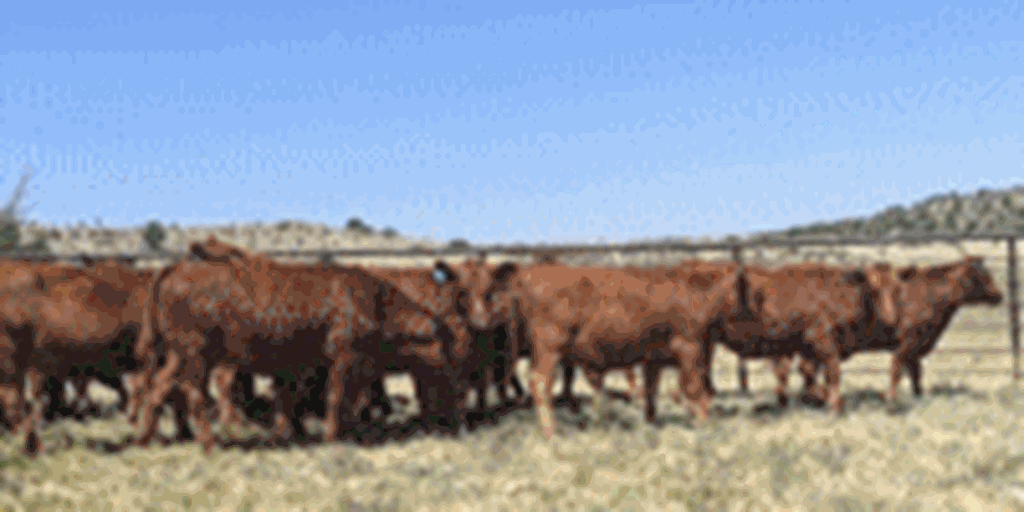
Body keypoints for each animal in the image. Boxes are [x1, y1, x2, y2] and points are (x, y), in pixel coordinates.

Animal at [130, 237, 475, 454]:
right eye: (452, 349)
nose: (458, 414)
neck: (375, 302)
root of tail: (177, 267)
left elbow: (341, 399)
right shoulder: (344, 356)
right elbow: (336, 397)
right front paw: (333, 437)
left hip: (178, 355)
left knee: (158, 387)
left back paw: (145, 440)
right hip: (196, 354)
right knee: (192, 394)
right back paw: (208, 443)